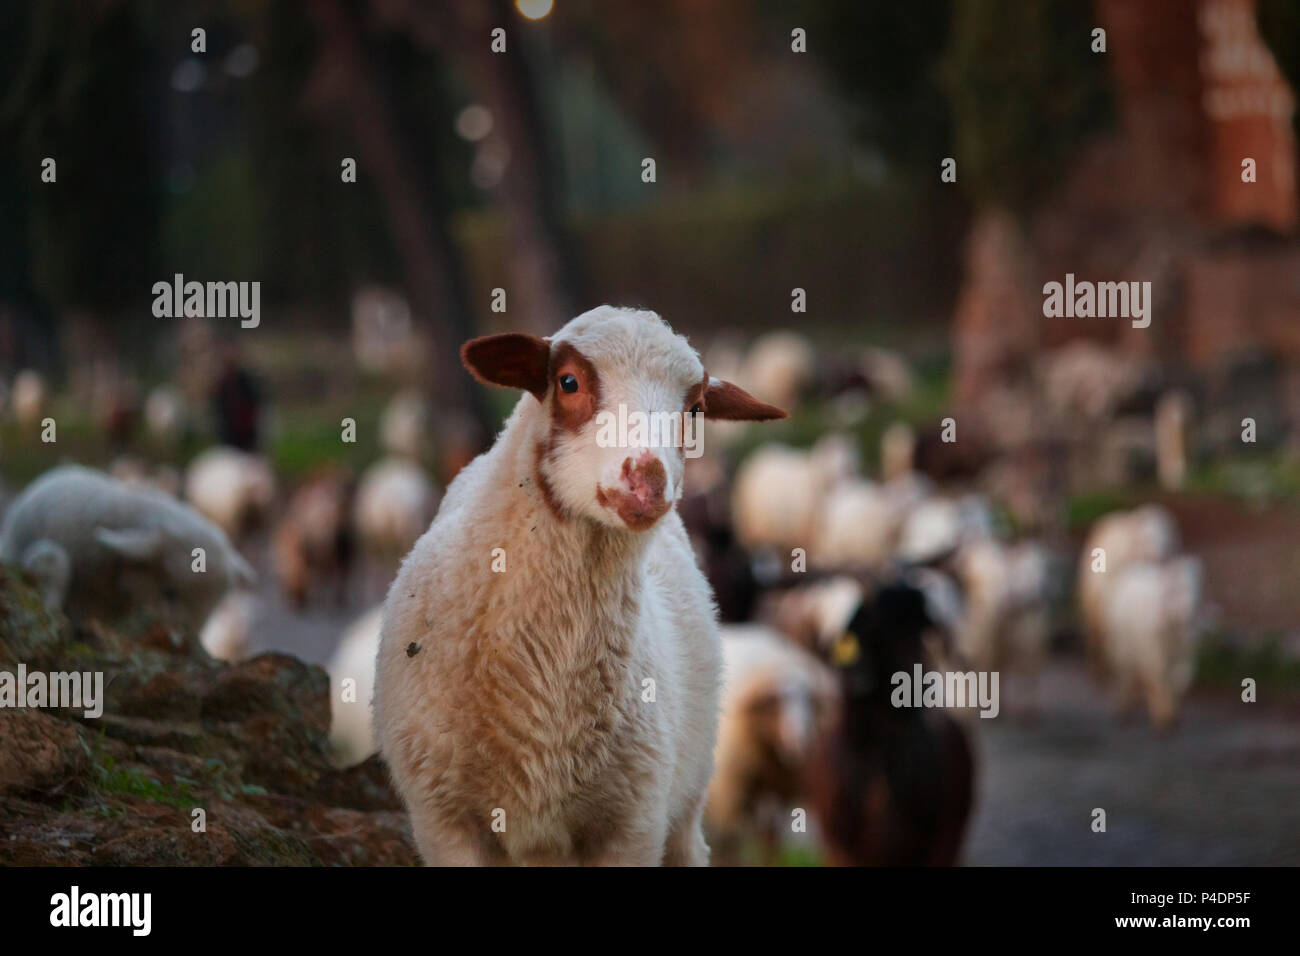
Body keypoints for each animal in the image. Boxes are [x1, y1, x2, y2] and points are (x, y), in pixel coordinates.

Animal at [373, 305, 785, 866]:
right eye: (568, 382)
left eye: (697, 410)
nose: (648, 481)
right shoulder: (446, 821)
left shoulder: (631, 825)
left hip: (686, 800)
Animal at [706, 623, 837, 864]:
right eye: (776, 702)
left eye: (809, 703)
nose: (802, 739)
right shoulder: (729, 797)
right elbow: (730, 845)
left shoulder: (781, 792)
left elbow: (770, 842)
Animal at [1100, 557, 1202, 729]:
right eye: (1177, 589)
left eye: (1197, 590)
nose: (1190, 612)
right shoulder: (1154, 652)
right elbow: (1159, 680)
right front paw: (1163, 717)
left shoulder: (1183, 653)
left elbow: (1181, 681)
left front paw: (1173, 714)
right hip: (1124, 646)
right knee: (1126, 675)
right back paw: (1124, 707)